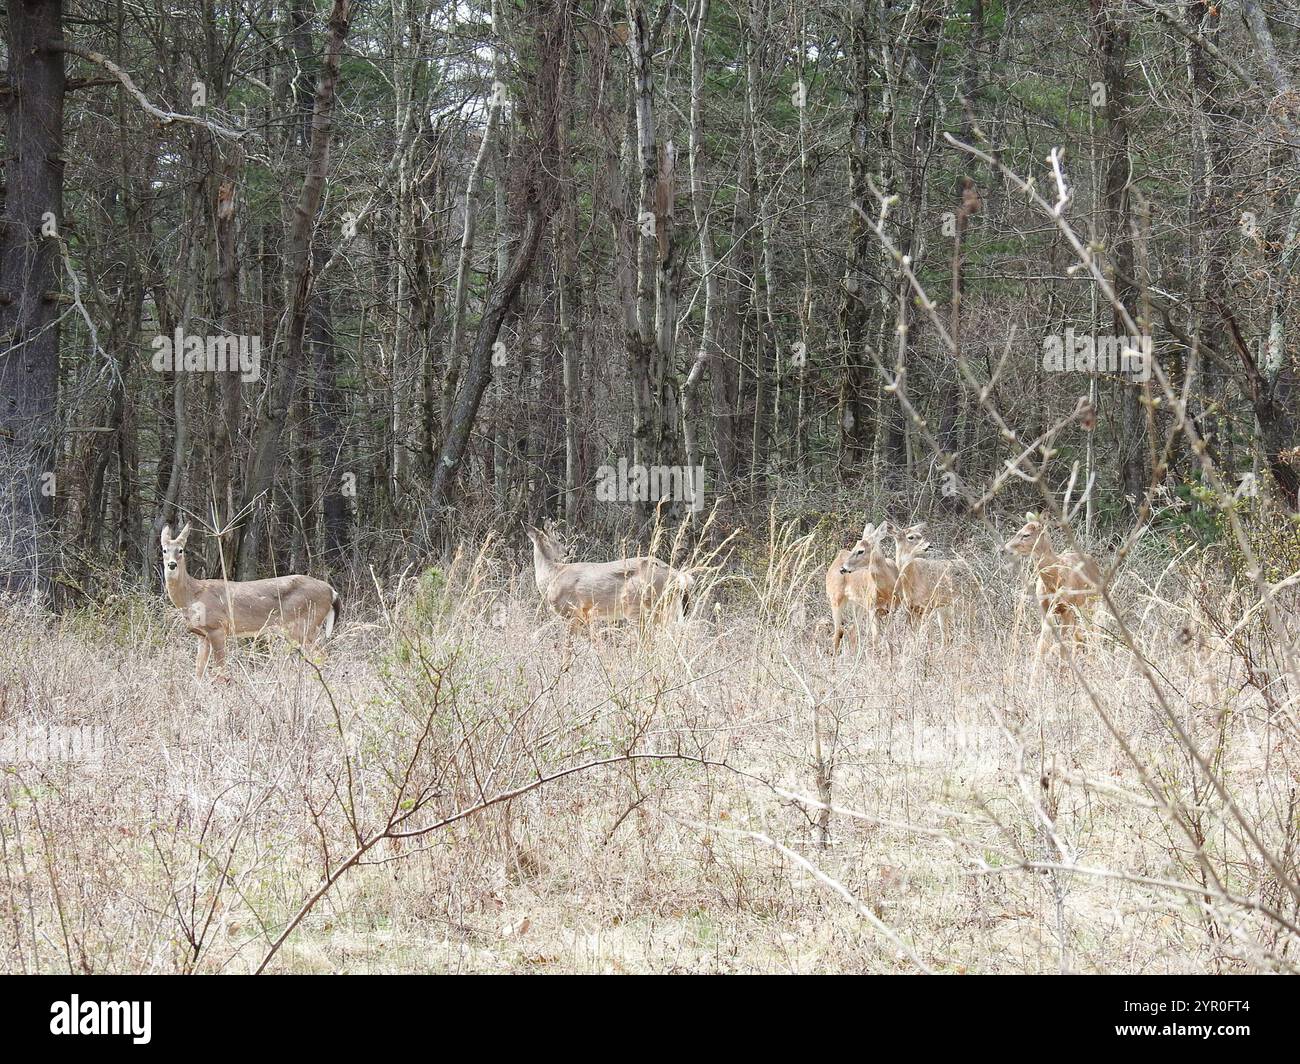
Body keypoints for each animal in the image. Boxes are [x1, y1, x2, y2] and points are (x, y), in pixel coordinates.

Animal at [160, 522, 340, 679]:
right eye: (164, 550)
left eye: (181, 550)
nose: (172, 564)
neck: (193, 595)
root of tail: (332, 591)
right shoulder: (201, 635)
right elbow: (198, 672)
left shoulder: (217, 627)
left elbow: (220, 671)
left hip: (305, 624)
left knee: (322, 655)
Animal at [524, 523, 695, 633]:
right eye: (559, 539)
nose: (567, 551)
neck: (552, 575)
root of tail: (680, 576)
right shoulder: (585, 617)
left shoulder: (572, 612)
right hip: (667, 608)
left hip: (639, 605)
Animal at [826, 520, 901, 654]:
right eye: (853, 548)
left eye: (861, 551)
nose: (843, 568)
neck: (886, 589)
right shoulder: (873, 608)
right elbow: (876, 638)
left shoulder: (892, 610)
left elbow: (890, 639)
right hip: (835, 598)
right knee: (837, 634)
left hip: (858, 604)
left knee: (851, 631)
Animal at [1003, 514, 1103, 663]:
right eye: (1018, 531)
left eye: (1026, 535)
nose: (1004, 549)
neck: (1054, 580)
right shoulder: (1044, 607)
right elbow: (1042, 644)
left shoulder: (1067, 608)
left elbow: (1061, 644)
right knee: (1078, 635)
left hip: (1090, 603)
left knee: (1090, 630)